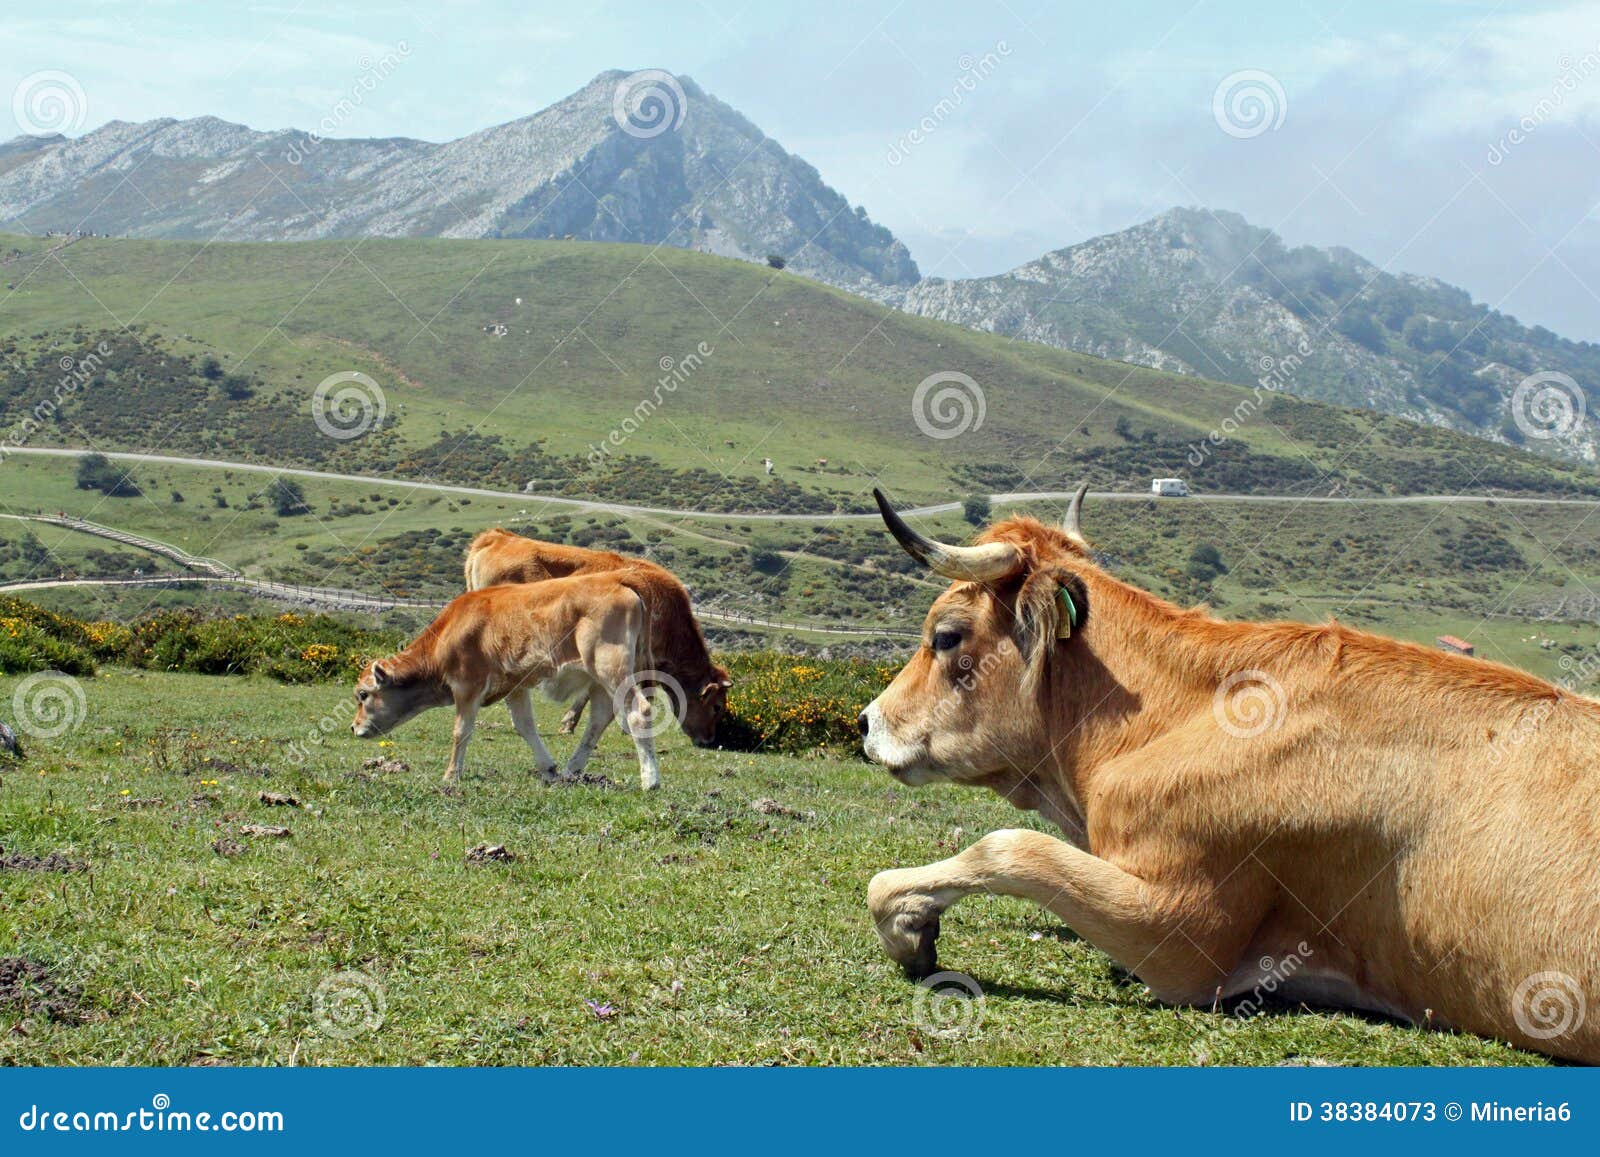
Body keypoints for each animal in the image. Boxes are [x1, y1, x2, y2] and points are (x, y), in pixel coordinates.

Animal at [351, 576, 664, 789]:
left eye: (363, 694)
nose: (354, 727)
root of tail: (620, 583)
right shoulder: (515, 686)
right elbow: (525, 726)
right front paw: (548, 769)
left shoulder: (467, 686)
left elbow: (461, 731)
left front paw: (451, 775)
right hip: (599, 680)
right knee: (598, 721)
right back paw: (570, 770)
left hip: (611, 668)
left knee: (639, 711)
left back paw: (650, 780)